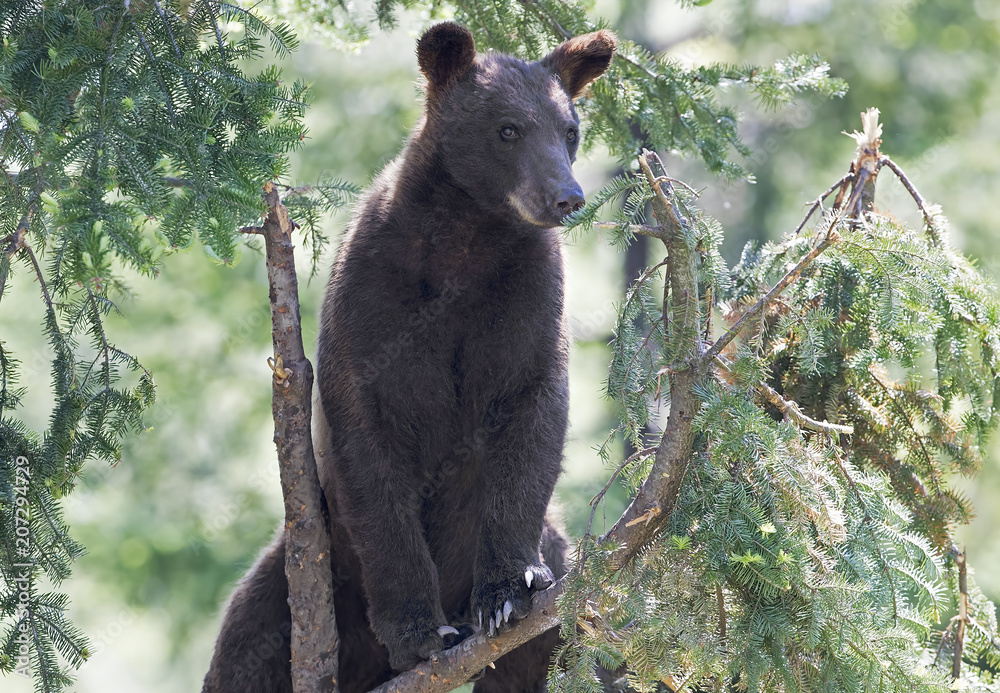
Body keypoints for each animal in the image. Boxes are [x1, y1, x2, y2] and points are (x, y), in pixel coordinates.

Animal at [202, 21, 616, 693]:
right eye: (508, 128)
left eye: (570, 130)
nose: (566, 198)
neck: (465, 241)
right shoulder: (376, 300)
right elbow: (373, 455)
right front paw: (419, 630)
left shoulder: (523, 297)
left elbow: (530, 411)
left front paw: (509, 588)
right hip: (295, 582)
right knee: (245, 648)